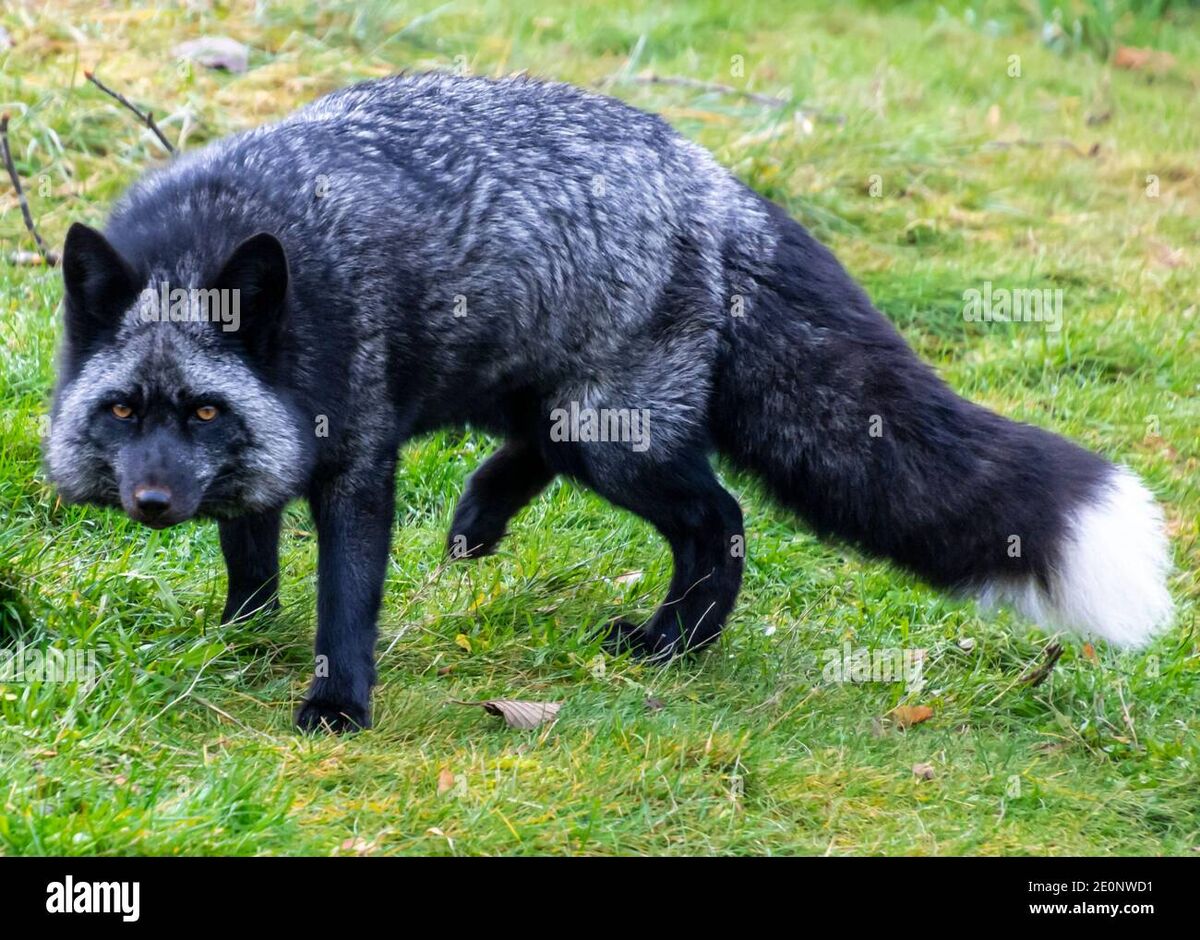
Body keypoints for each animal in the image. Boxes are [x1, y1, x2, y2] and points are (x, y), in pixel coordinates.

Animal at [46, 73, 1174, 731]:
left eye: (202, 412)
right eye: (123, 413)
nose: (151, 503)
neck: (234, 227)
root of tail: (720, 184)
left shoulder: (357, 456)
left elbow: (347, 595)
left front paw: (337, 699)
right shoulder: (281, 444)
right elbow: (249, 543)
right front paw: (241, 630)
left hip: (613, 438)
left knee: (719, 516)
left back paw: (677, 644)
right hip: (552, 402)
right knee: (542, 454)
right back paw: (483, 520)